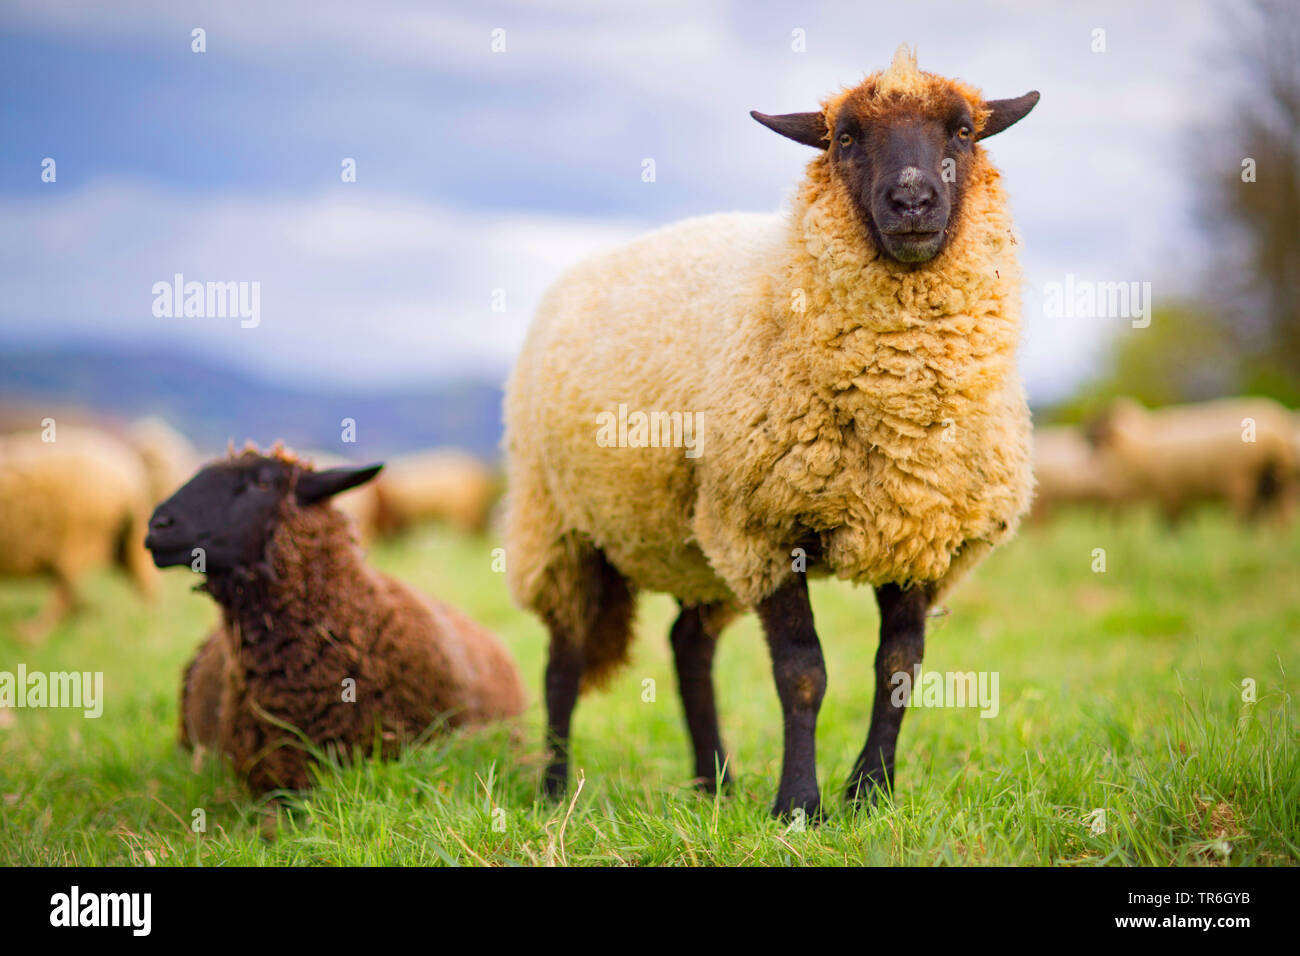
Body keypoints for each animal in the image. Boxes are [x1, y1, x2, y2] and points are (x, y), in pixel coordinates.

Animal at [504, 47, 1040, 817]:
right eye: (844, 138)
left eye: (964, 131)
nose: (912, 203)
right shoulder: (764, 529)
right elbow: (803, 673)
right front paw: (799, 806)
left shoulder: (920, 533)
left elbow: (899, 667)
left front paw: (870, 794)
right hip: (563, 524)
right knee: (563, 661)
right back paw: (552, 791)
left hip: (695, 539)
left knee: (687, 647)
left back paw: (714, 783)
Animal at [1087, 396, 1297, 523]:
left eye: (1103, 418)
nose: (1086, 436)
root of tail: (1277, 433)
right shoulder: (1177, 491)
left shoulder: (1170, 491)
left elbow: (1169, 526)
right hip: (1274, 482)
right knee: (1276, 514)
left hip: (1243, 480)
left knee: (1248, 516)